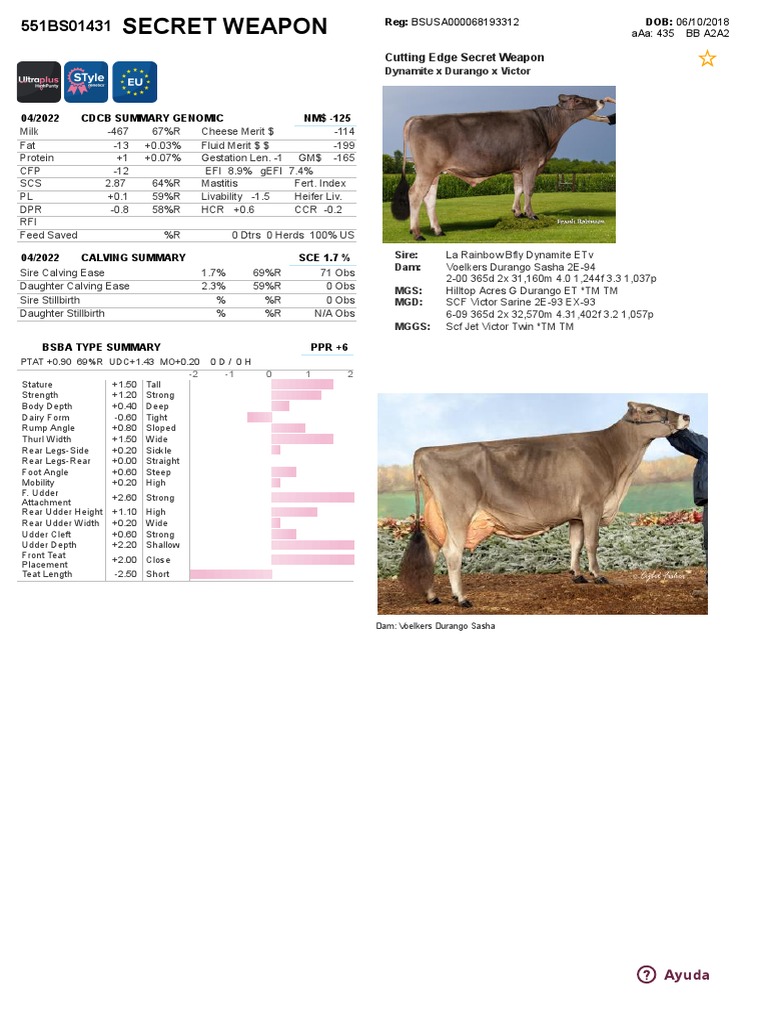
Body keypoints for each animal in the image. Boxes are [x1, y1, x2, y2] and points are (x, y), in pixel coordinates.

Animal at [390, 94, 616, 240]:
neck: (547, 128)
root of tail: (418, 118)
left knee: (429, 198)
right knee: (415, 194)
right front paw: (531, 215)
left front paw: (517, 212)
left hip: (435, 173)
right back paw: (417, 233)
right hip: (426, 170)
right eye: (577, 100)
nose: (601, 101)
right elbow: (530, 189)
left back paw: (437, 230)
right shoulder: (531, 163)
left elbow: (519, 189)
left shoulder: (518, 167)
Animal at [399, 402, 689, 607]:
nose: (685, 416)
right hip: (458, 513)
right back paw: (461, 598)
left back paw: (432, 596)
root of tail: (426, 450)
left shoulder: (576, 514)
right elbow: (592, 542)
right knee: (452, 552)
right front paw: (598, 576)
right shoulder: (592, 505)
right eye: (650, 410)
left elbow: (576, 543)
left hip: (437, 517)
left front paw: (577, 575)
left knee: (431, 551)